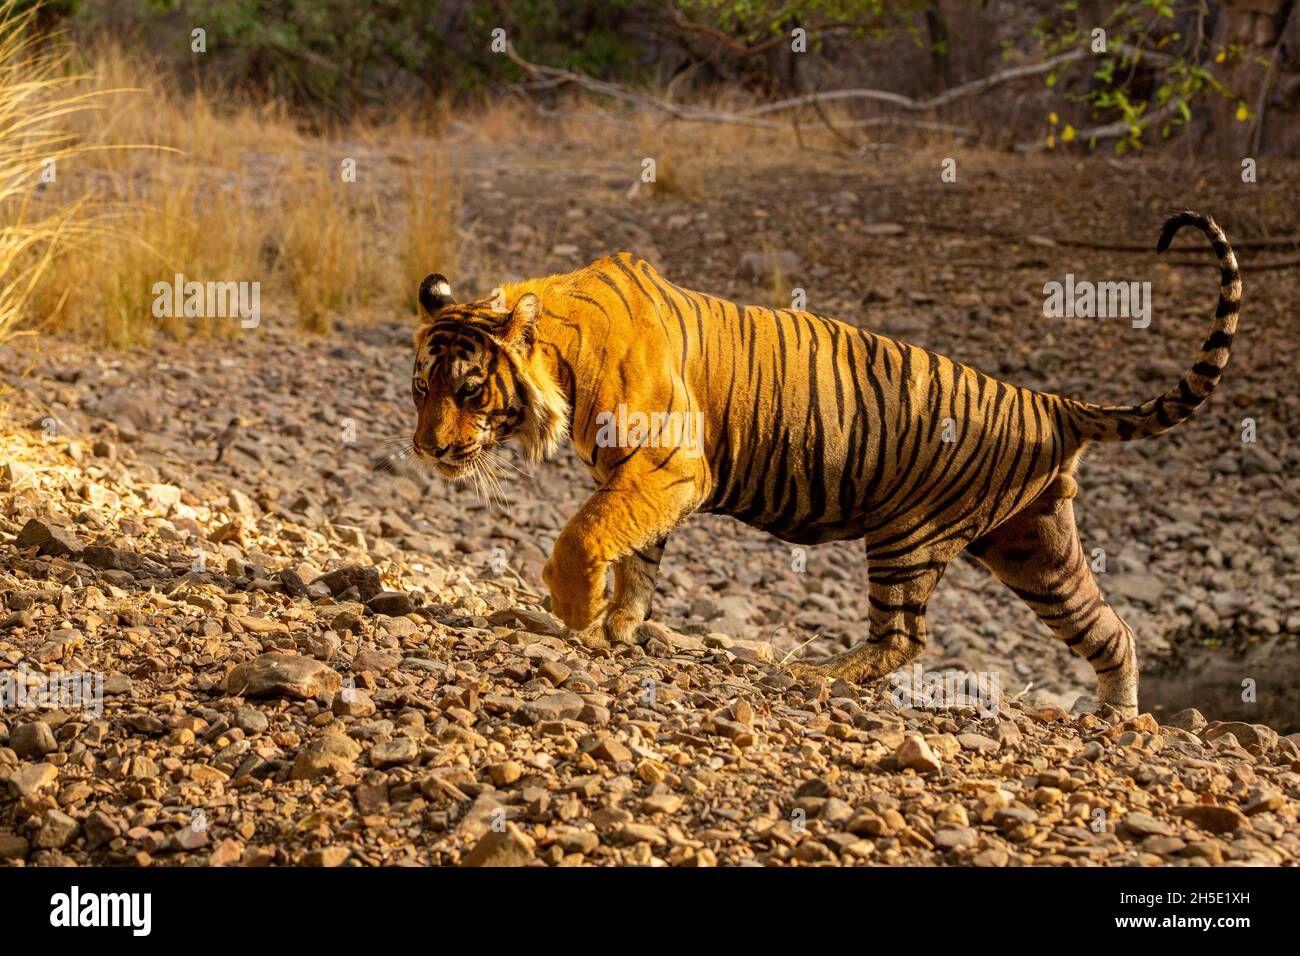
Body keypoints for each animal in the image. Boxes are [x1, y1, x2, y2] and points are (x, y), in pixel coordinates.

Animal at [409, 211, 1240, 719]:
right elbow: (636, 555)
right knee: (1112, 630)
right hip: (1034, 550)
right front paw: (618, 626)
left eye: (470, 389)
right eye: (421, 387)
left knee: (903, 638)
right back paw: (1116, 719)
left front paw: (575, 612)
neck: (562, 359)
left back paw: (812, 674)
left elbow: (584, 535)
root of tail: (1049, 402)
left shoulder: (668, 461)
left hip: (910, 535)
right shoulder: (645, 479)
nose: (428, 449)